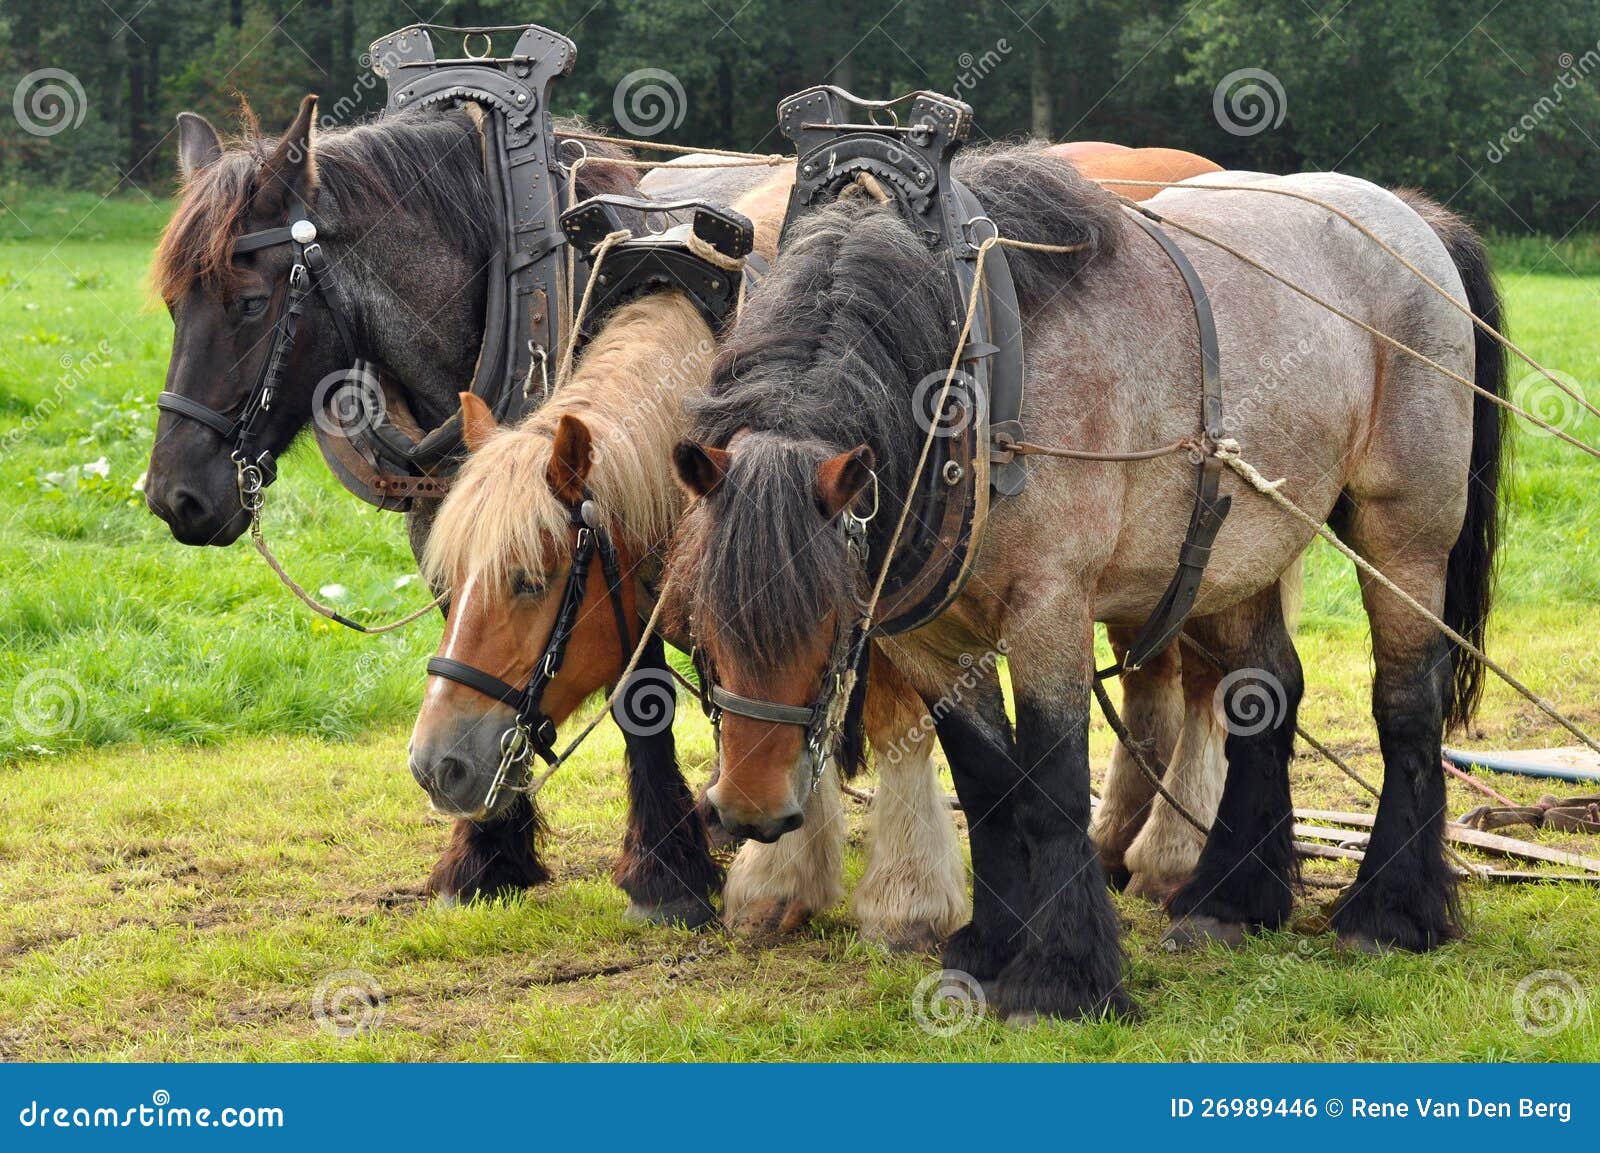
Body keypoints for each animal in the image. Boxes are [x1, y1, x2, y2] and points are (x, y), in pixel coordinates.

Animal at [142, 94, 643, 904]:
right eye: (172, 304)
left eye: (249, 303)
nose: (173, 497)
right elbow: (478, 653)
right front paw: (488, 849)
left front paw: (665, 864)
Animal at [406, 144, 1239, 941]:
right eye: (445, 580)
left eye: (529, 578)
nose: (436, 763)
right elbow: (709, 709)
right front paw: (713, 870)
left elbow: (881, 719)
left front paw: (895, 899)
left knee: (1202, 679)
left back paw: (1172, 856)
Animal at [668, 143, 1505, 1020]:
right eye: (700, 624)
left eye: (830, 622)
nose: (748, 808)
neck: (972, 375)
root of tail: (1412, 215)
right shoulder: (931, 636)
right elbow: (989, 782)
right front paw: (987, 944)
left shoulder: (1049, 608)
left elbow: (1053, 782)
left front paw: (1061, 974)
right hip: (1242, 545)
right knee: (1266, 695)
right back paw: (1228, 901)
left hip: (1405, 531)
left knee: (1406, 705)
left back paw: (1391, 911)